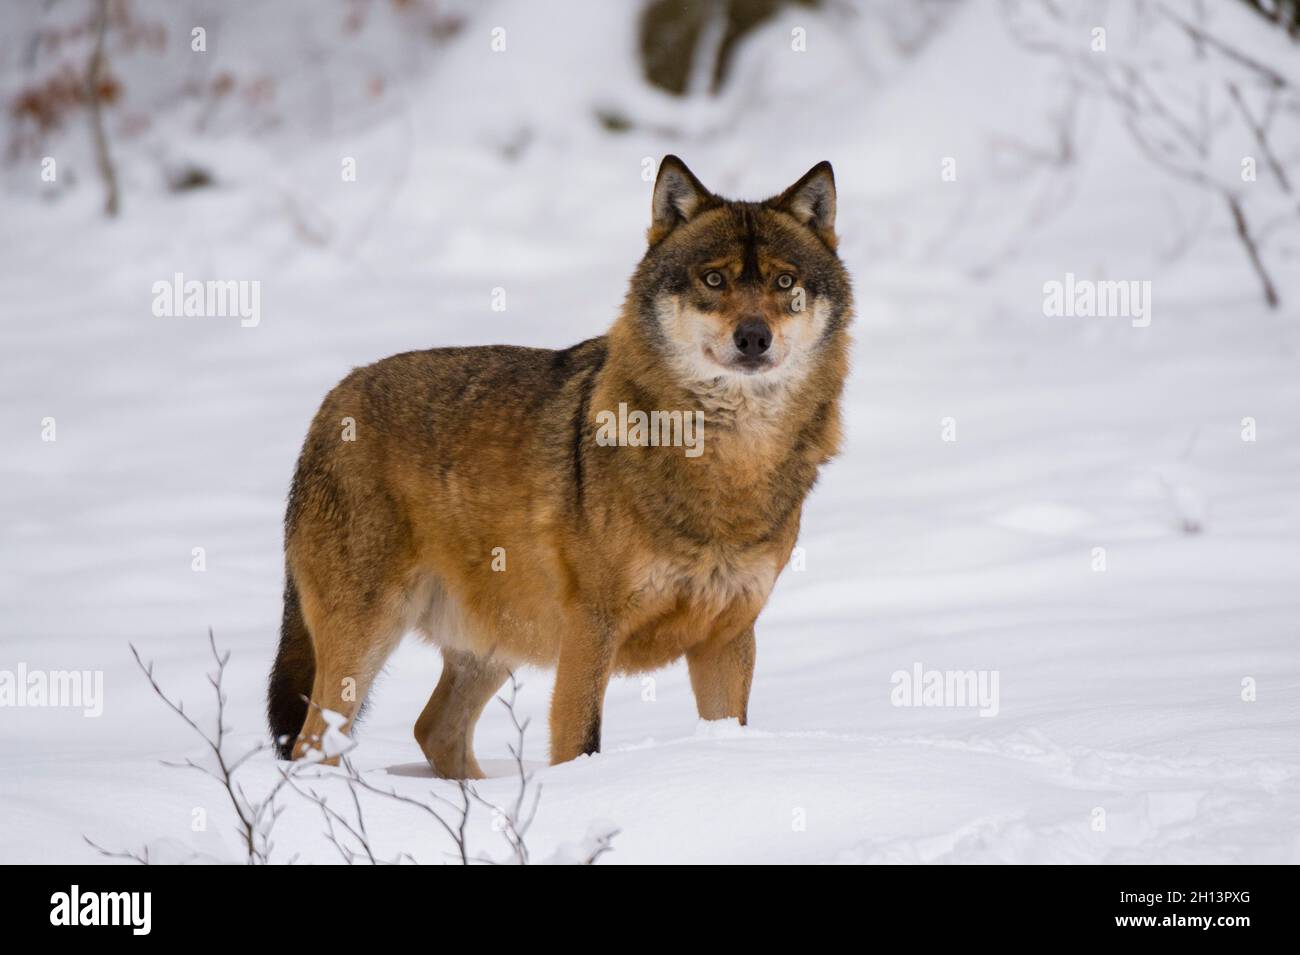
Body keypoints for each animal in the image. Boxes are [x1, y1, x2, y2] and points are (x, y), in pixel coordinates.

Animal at [268, 156, 853, 775]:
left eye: (785, 282)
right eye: (714, 280)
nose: (753, 337)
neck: (730, 462)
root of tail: (332, 402)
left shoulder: (729, 634)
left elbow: (726, 730)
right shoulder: (590, 629)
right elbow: (581, 742)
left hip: (495, 645)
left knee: (432, 729)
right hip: (367, 641)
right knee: (312, 744)